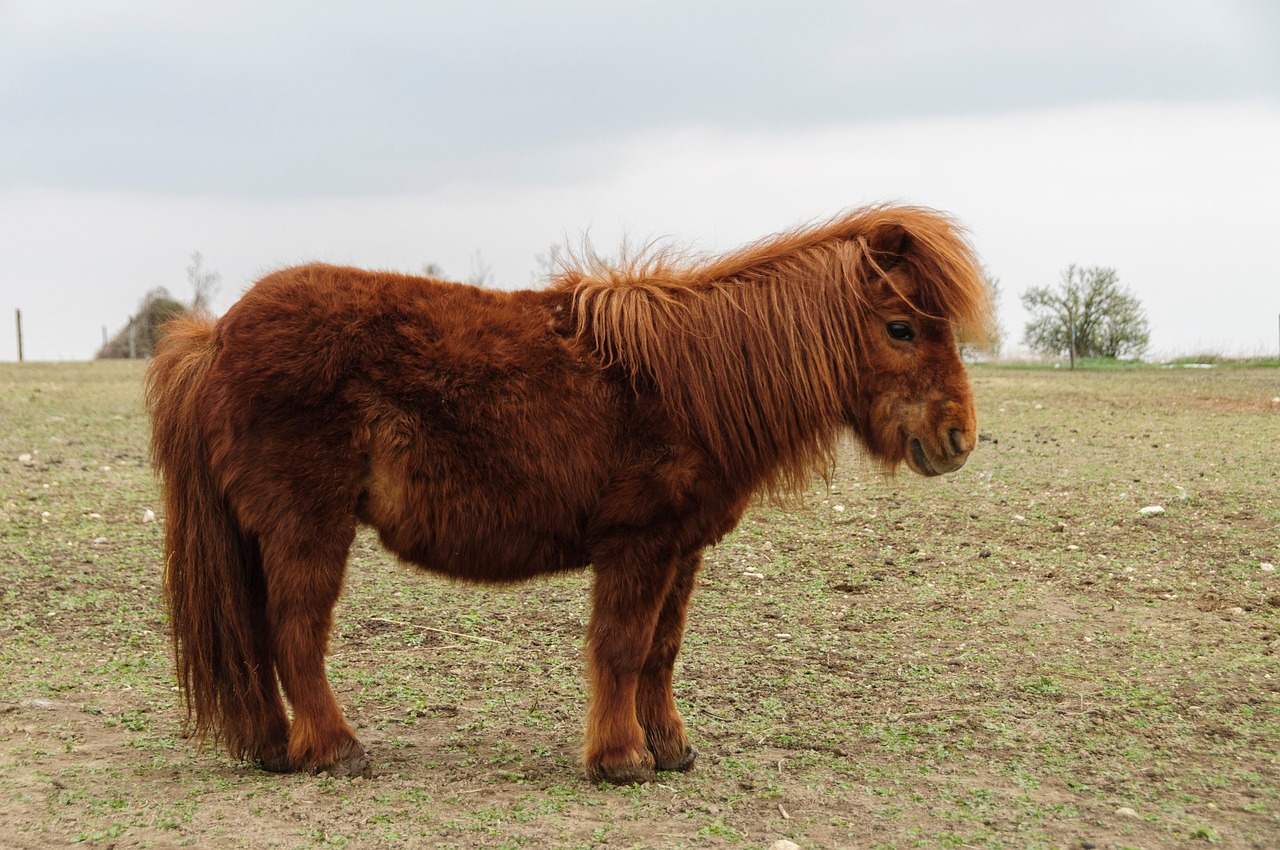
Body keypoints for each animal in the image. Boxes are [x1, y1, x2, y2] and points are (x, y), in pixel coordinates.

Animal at [145, 204, 989, 785]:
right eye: (902, 328)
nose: (958, 438)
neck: (696, 382)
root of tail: (216, 337)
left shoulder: (681, 550)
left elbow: (661, 651)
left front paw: (670, 747)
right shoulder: (637, 546)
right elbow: (621, 648)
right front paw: (620, 759)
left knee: (257, 637)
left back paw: (271, 746)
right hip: (307, 527)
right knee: (293, 635)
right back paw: (335, 749)